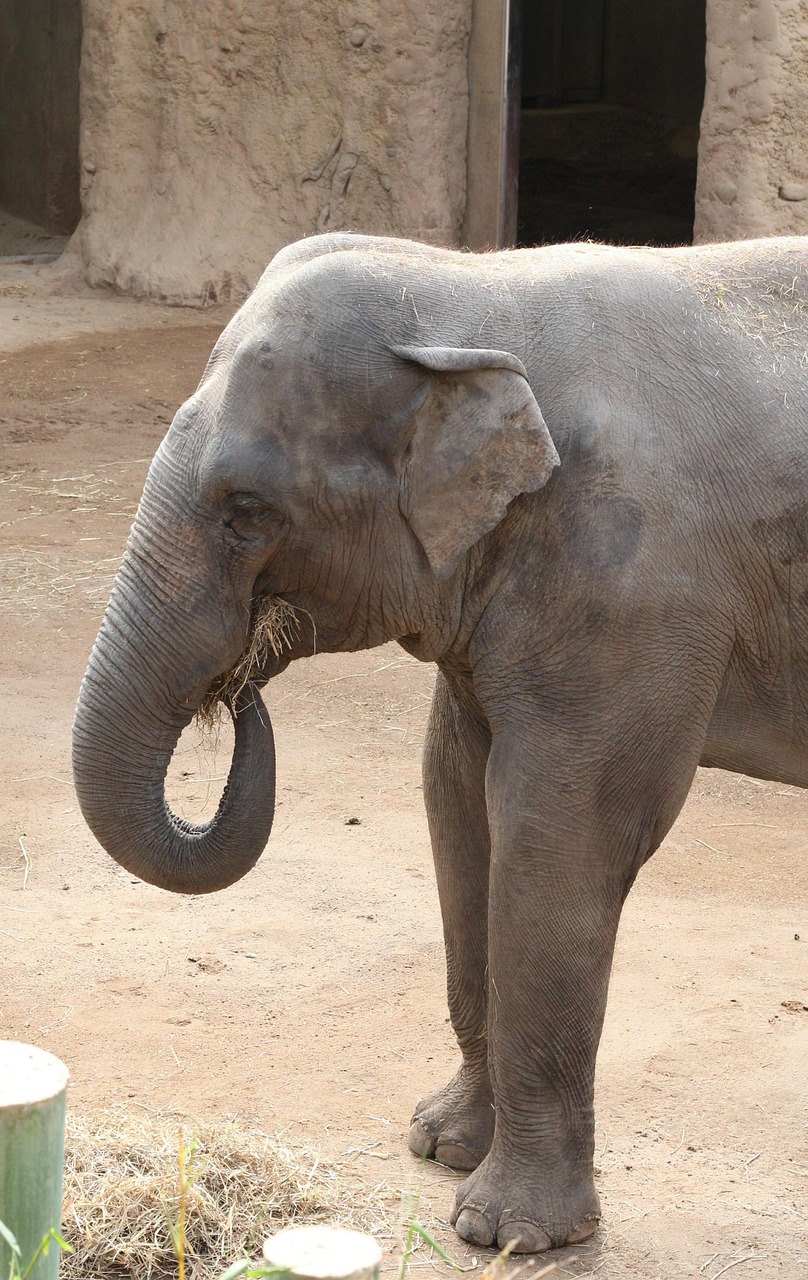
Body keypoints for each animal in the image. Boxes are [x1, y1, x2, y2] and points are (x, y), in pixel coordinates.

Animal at [74, 231, 808, 1254]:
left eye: (247, 509)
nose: (243, 682)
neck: (475, 290)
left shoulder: (633, 591)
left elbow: (560, 833)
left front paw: (507, 1235)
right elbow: (456, 797)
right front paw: (438, 1145)